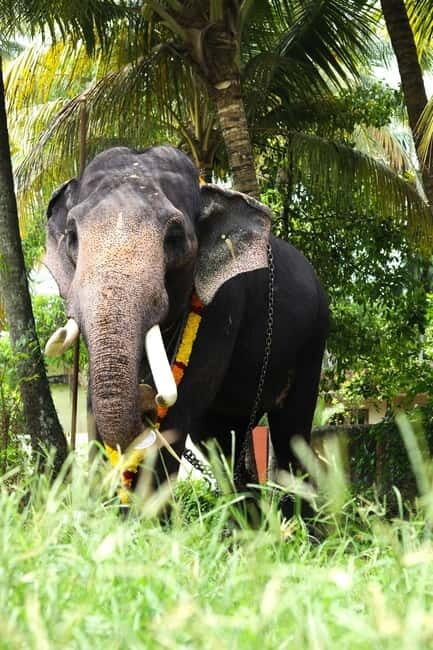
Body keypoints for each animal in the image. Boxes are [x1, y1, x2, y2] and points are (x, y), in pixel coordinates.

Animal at [44, 145, 329, 510]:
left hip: (313, 340)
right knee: (223, 440)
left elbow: (179, 412)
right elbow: (96, 408)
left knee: (292, 436)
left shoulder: (223, 303)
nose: (146, 399)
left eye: (175, 238)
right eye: (73, 236)